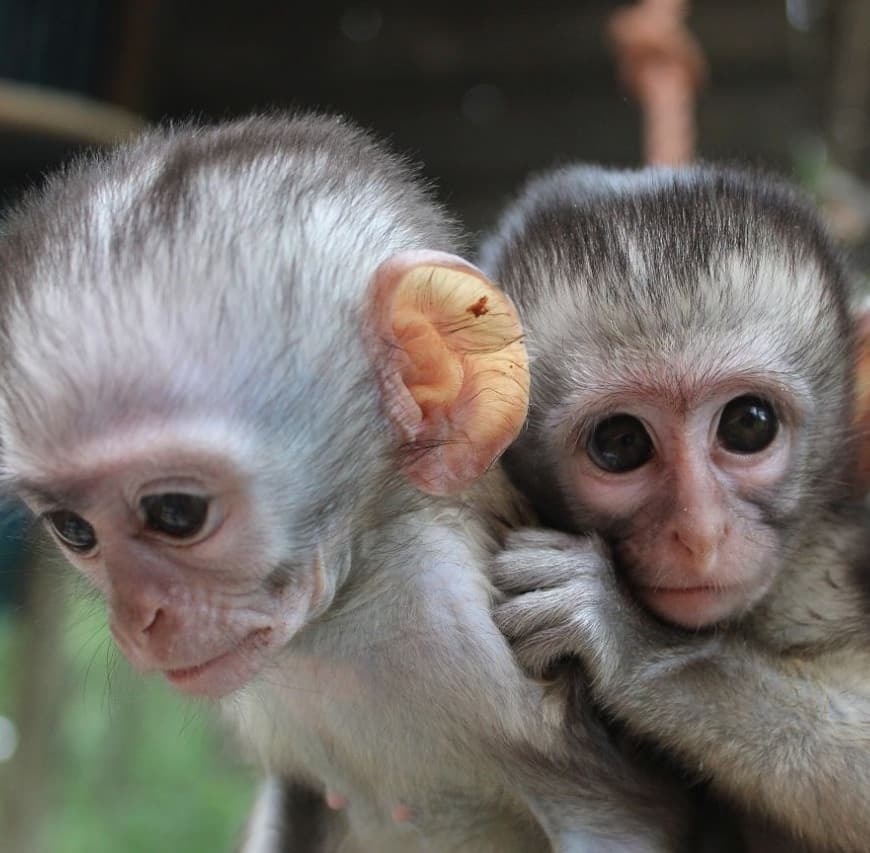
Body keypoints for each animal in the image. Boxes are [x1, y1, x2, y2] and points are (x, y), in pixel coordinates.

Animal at [0, 116, 689, 852]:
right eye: (74, 529)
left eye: (176, 513)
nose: (137, 623)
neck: (348, 611)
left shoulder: (459, 617)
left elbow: (619, 813)